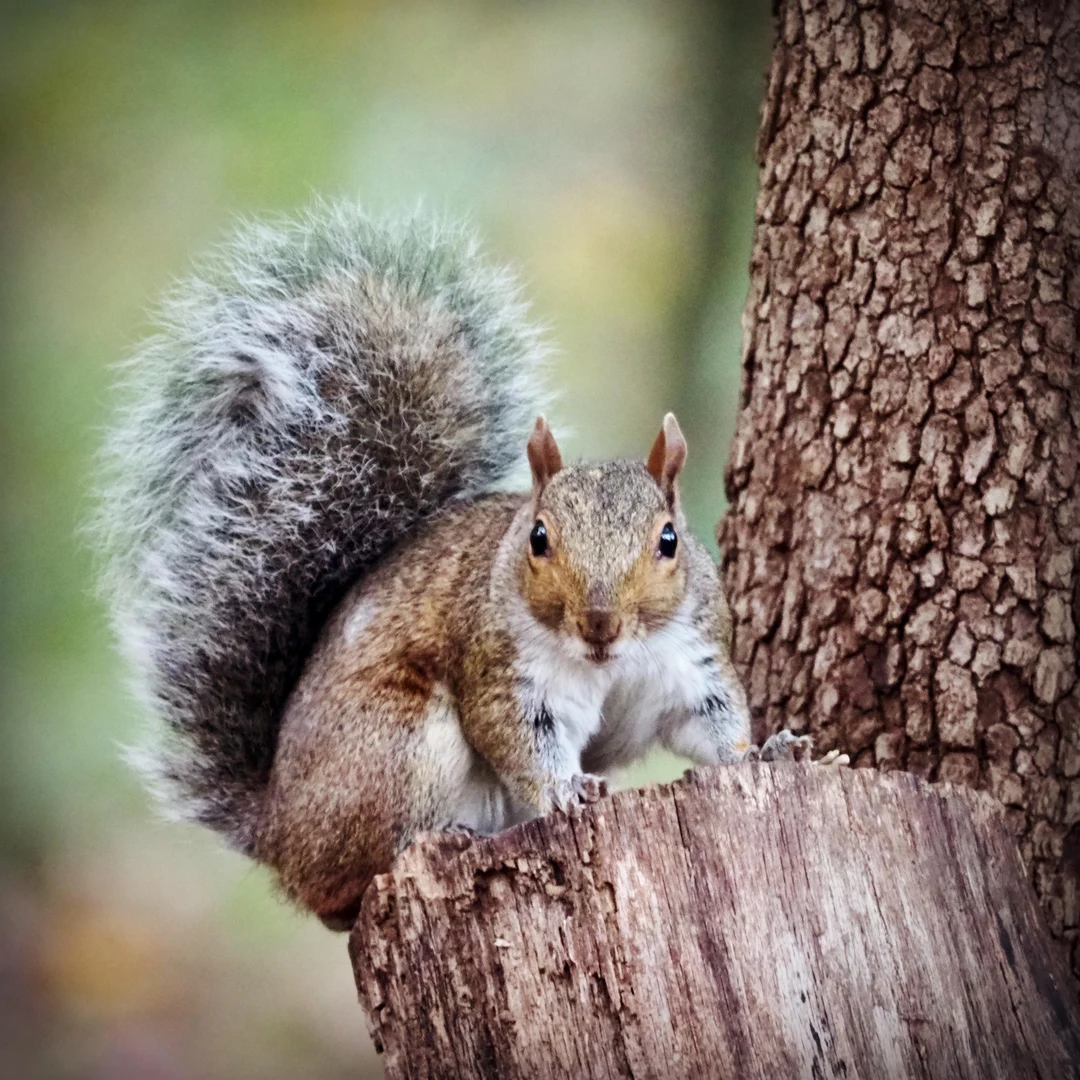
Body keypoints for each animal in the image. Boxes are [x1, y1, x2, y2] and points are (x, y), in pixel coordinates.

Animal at [96, 200, 836, 931]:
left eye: (669, 540)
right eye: (538, 538)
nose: (599, 624)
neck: (609, 662)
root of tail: (277, 832)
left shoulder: (690, 659)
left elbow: (710, 725)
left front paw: (771, 752)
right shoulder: (502, 671)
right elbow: (522, 739)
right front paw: (567, 790)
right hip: (401, 749)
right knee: (341, 894)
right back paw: (430, 841)